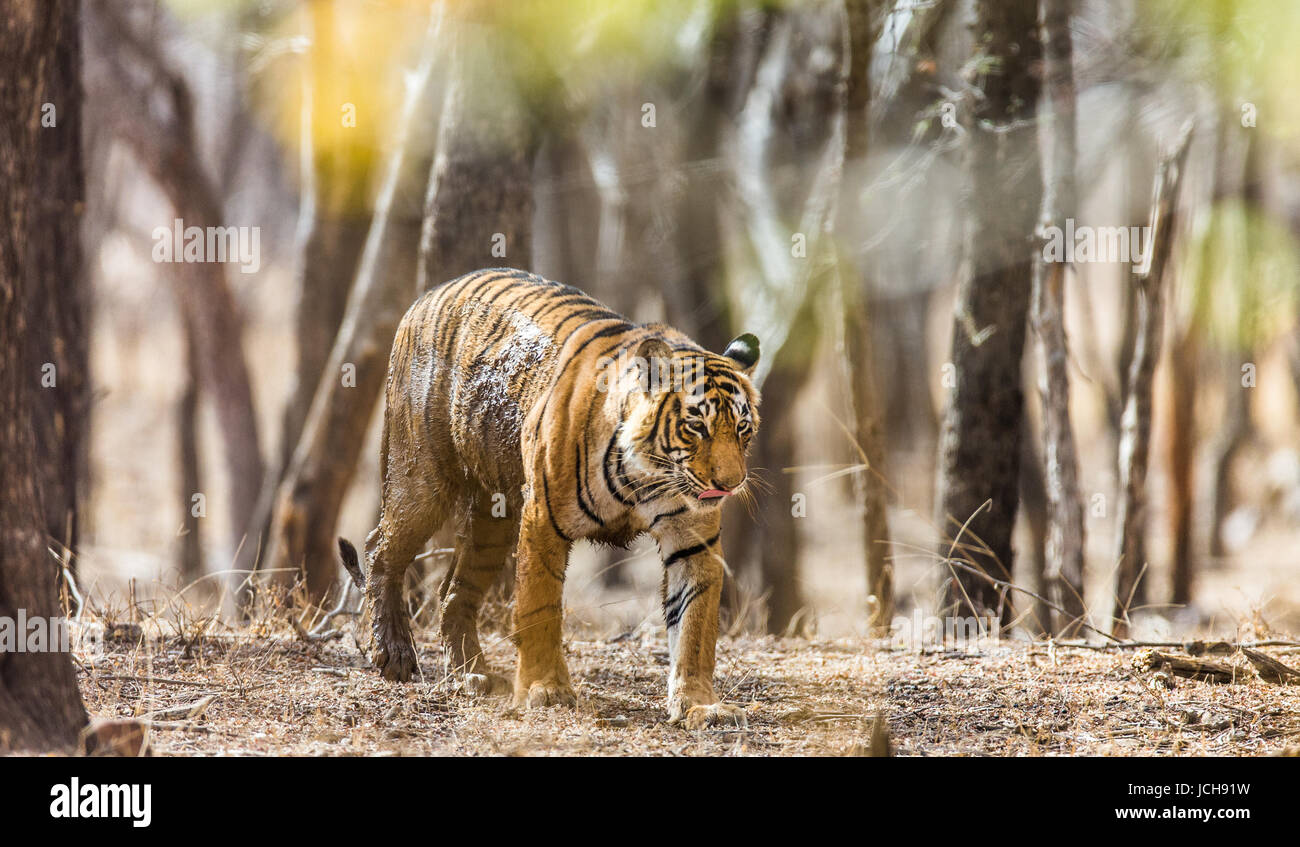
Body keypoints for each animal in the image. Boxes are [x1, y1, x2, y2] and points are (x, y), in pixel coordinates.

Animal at [337, 267, 761, 729]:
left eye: (743, 429)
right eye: (696, 426)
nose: (729, 484)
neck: (647, 478)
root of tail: (428, 295)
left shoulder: (693, 541)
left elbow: (695, 626)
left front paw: (700, 703)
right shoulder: (544, 521)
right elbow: (539, 608)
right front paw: (546, 689)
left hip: (494, 516)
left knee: (453, 590)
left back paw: (473, 674)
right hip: (423, 479)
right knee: (379, 549)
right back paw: (394, 655)